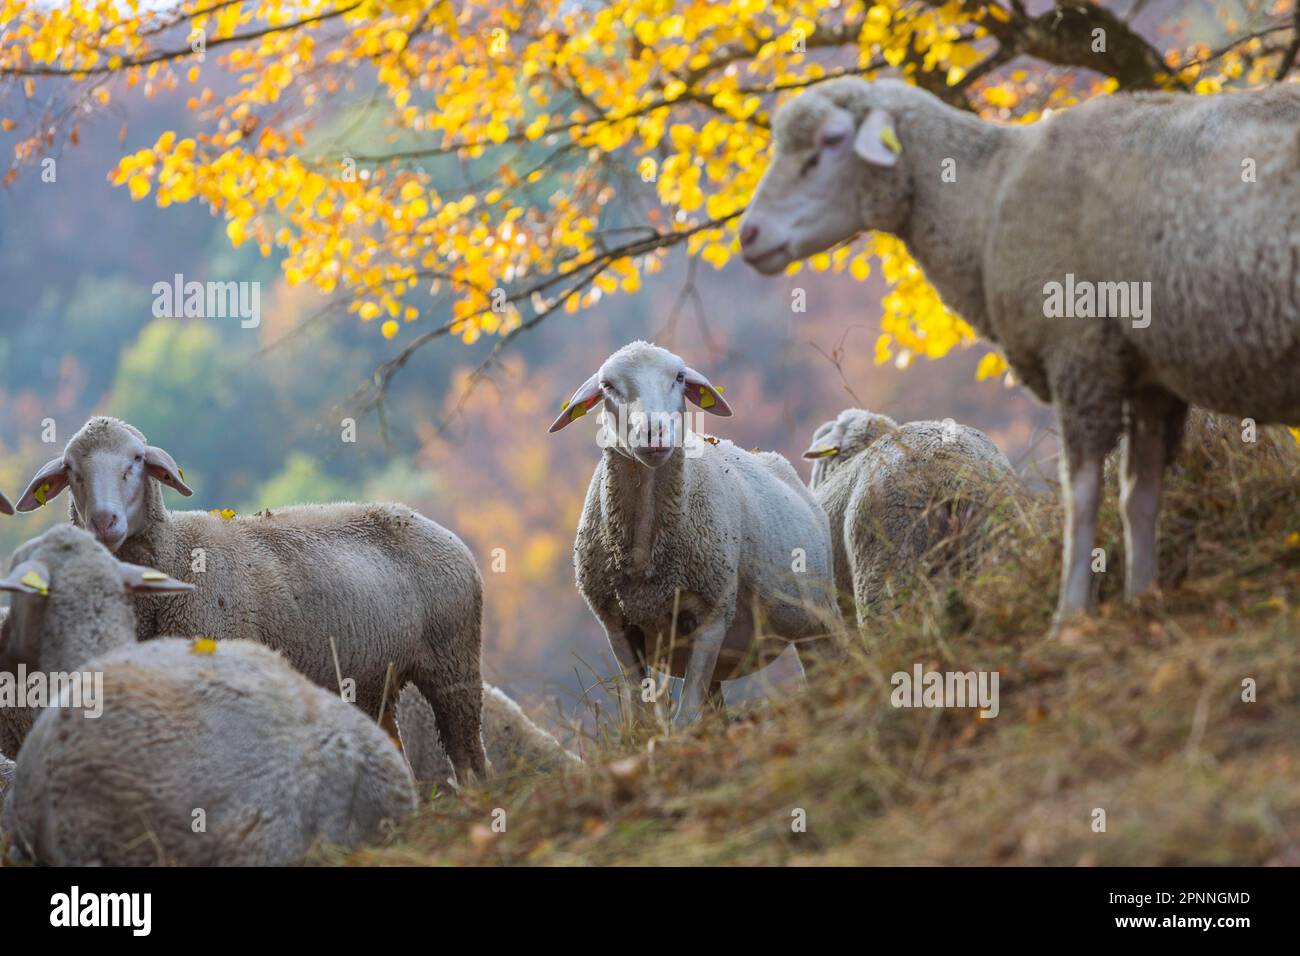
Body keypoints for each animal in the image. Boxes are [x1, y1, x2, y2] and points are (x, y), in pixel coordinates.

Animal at [13, 416, 487, 780]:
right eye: (71, 468)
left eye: (136, 460)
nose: (104, 521)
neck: (176, 554)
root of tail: (425, 521)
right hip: (374, 677)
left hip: (454, 663)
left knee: (467, 752)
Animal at [549, 341, 843, 726]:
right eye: (607, 386)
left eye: (679, 377)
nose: (654, 431)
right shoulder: (617, 624)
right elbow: (643, 715)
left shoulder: (712, 614)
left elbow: (686, 717)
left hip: (820, 617)